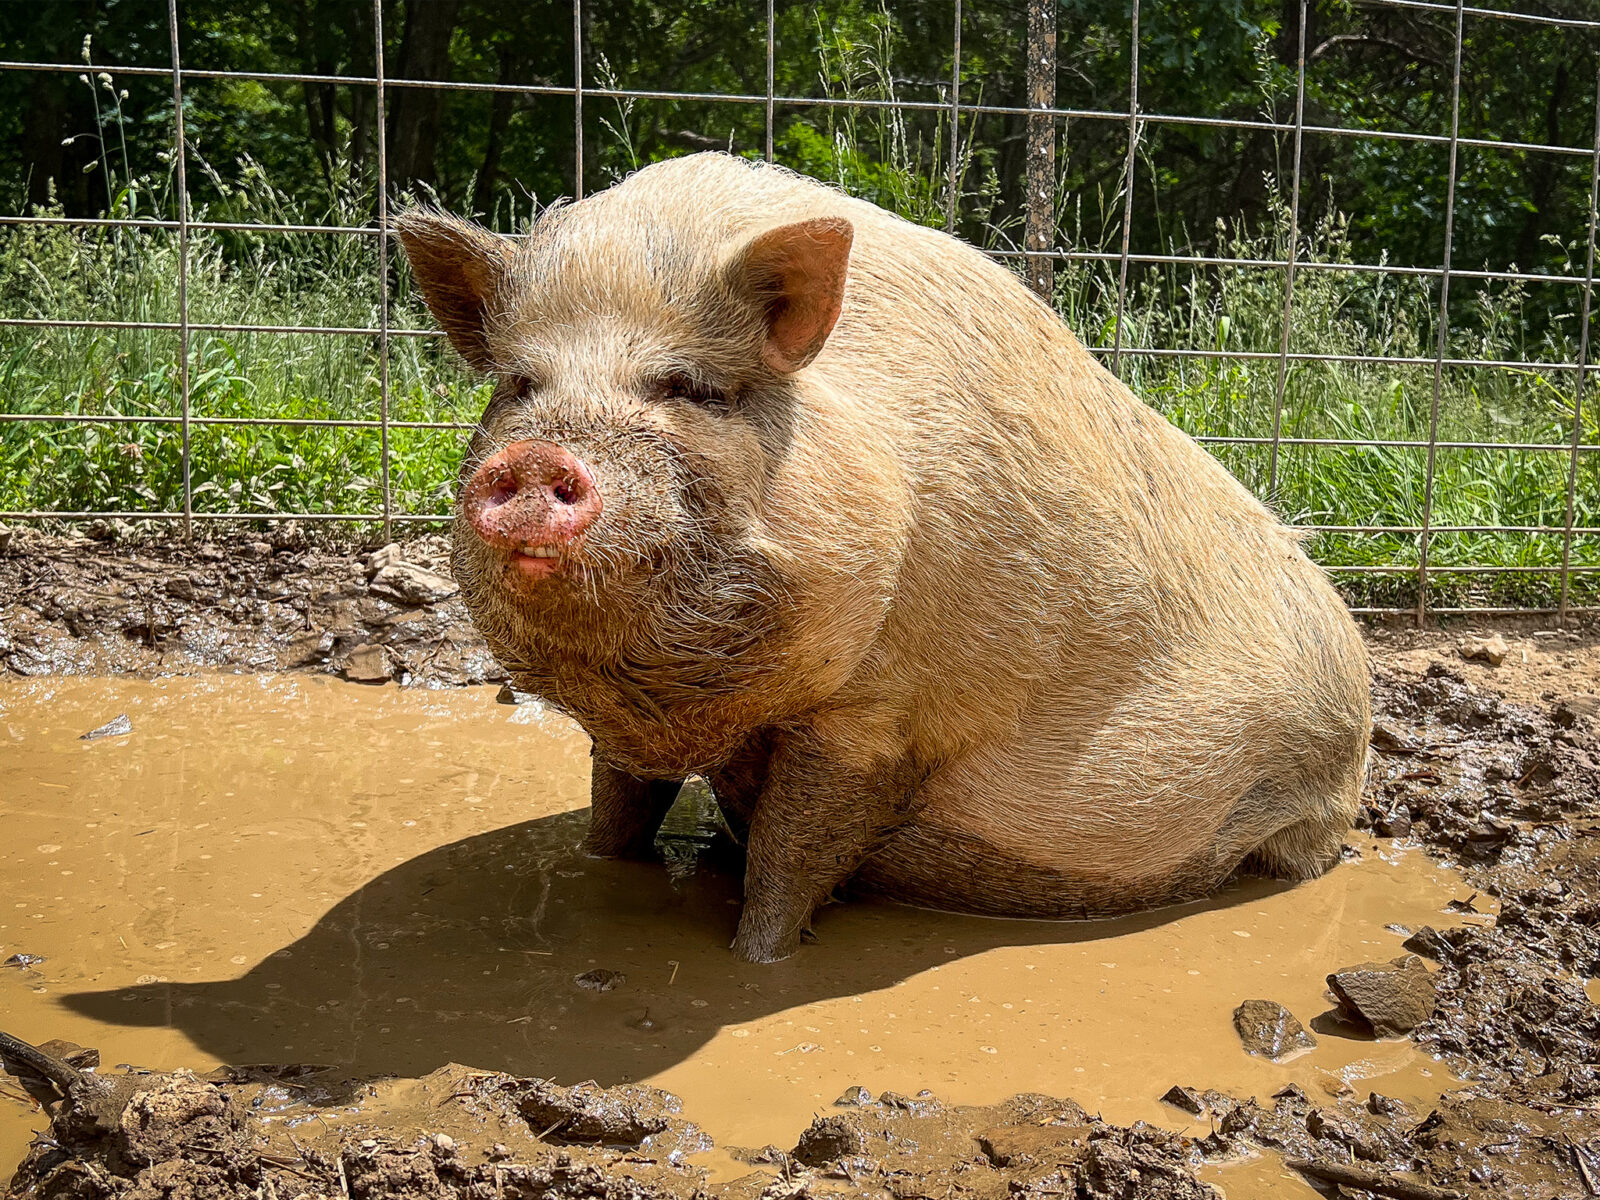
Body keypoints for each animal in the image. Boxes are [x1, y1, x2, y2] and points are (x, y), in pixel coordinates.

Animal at [396, 152, 1370, 963]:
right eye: (518, 385)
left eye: (692, 389)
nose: (535, 459)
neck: (686, 709)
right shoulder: (633, 734)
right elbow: (617, 812)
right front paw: (594, 877)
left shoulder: (879, 718)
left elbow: (793, 853)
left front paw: (758, 963)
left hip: (1313, 804)